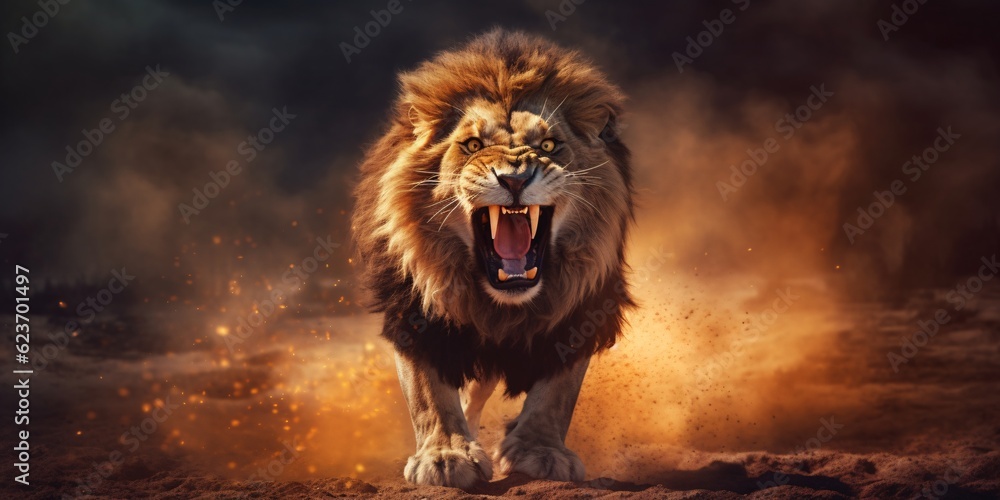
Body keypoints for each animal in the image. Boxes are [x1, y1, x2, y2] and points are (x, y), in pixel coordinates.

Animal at [352, 29, 635, 488]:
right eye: (472, 145)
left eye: (549, 145)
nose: (515, 179)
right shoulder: (413, 305)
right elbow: (428, 390)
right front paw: (446, 454)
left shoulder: (584, 303)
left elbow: (557, 391)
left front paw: (539, 451)